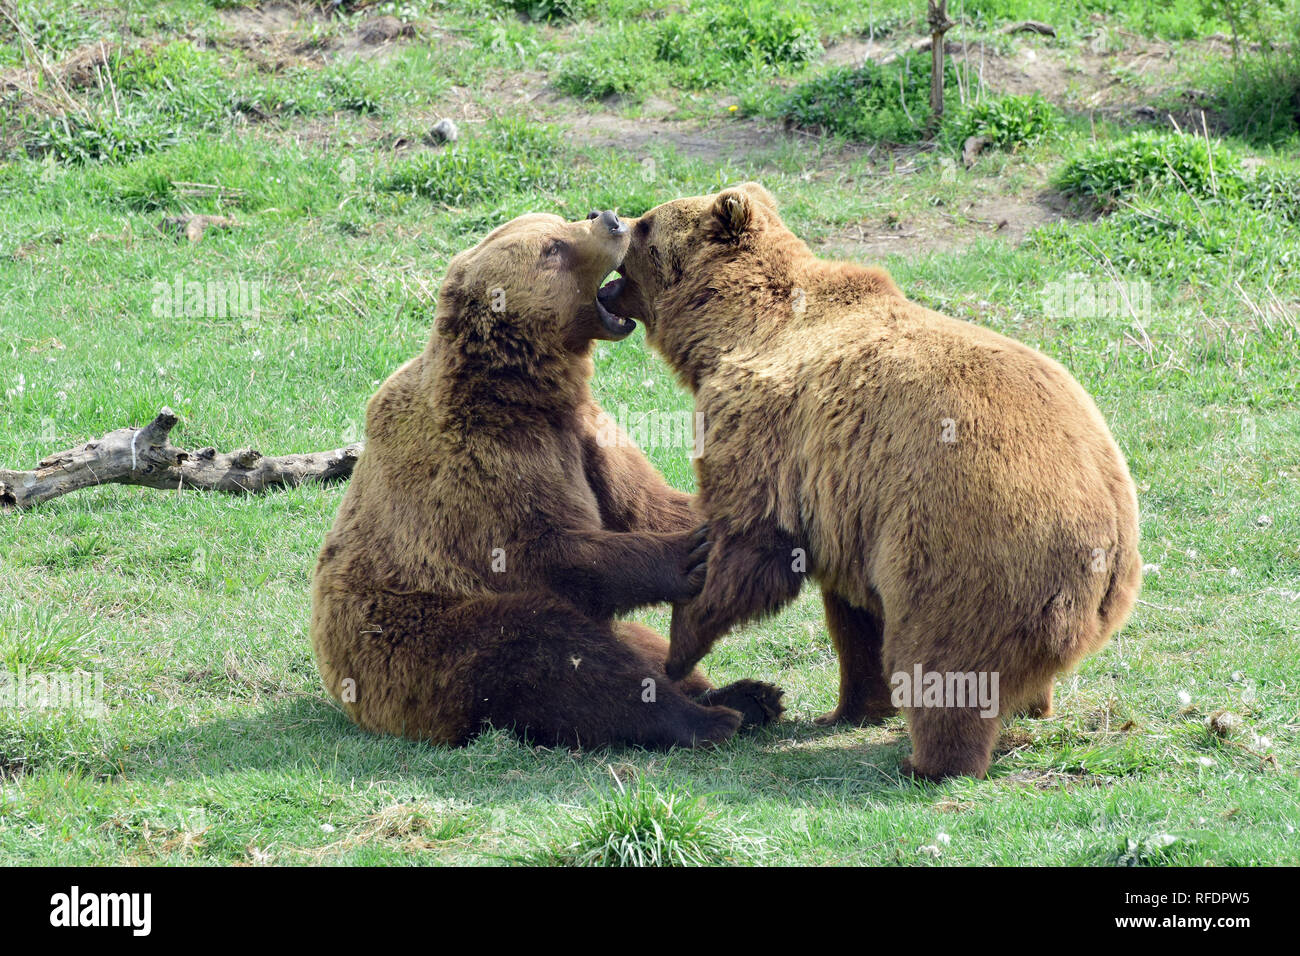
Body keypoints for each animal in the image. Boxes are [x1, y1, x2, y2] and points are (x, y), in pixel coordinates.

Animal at [310, 208, 783, 751]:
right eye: (552, 248)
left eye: (565, 219)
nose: (611, 218)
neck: (530, 391)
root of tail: (349, 697)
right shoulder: (486, 457)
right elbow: (544, 549)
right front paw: (687, 553)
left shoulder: (586, 432)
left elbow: (649, 504)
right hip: (418, 647)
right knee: (548, 648)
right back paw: (706, 719)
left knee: (634, 646)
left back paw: (748, 697)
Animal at [597, 183, 1141, 779]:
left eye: (646, 223)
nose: (607, 214)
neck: (731, 331)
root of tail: (1110, 539)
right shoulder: (845, 505)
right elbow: (852, 618)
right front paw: (848, 706)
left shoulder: (767, 428)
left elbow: (751, 539)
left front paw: (680, 644)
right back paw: (1031, 707)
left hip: (966, 546)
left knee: (943, 658)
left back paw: (929, 761)